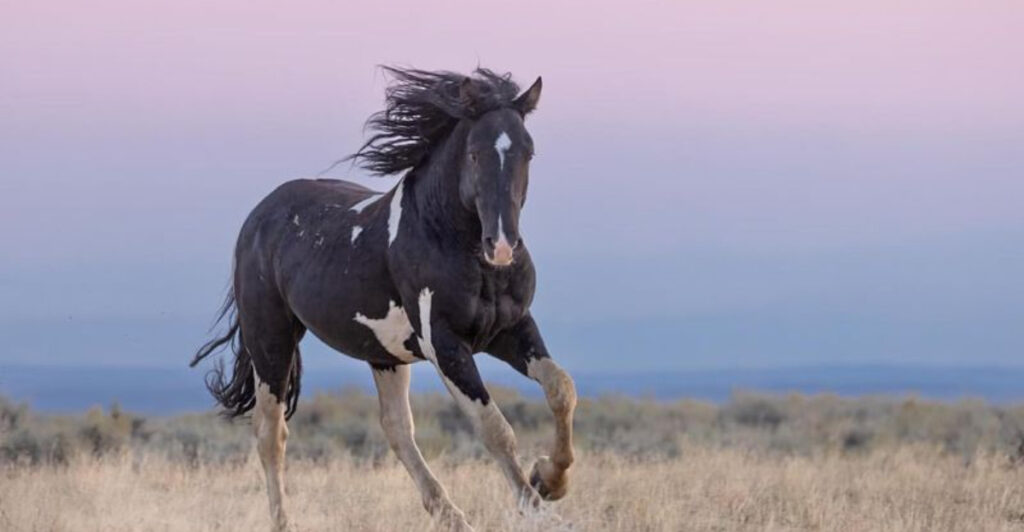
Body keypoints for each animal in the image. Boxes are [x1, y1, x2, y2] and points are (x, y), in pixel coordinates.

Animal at [190, 67, 577, 531]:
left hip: (384, 355)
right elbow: (494, 427)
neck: (443, 237)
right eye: (474, 154)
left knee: (396, 429)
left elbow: (560, 388)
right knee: (271, 434)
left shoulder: (512, 329)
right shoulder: (446, 345)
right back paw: (286, 523)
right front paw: (536, 505)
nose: (501, 247)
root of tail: (259, 216)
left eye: (528, 153)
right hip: (270, 339)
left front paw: (549, 480)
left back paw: (451, 515)